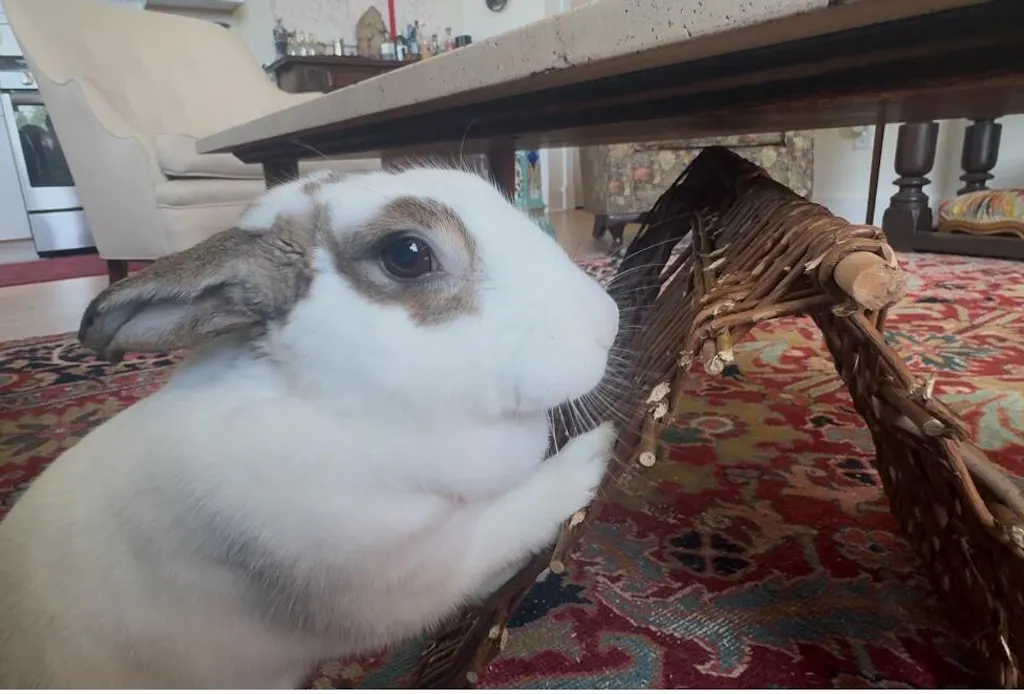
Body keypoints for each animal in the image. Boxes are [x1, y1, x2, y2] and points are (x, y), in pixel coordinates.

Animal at [0, 166, 620, 689]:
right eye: (408, 254)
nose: (608, 320)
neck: (333, 400)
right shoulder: (399, 576)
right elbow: (506, 523)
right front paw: (594, 451)